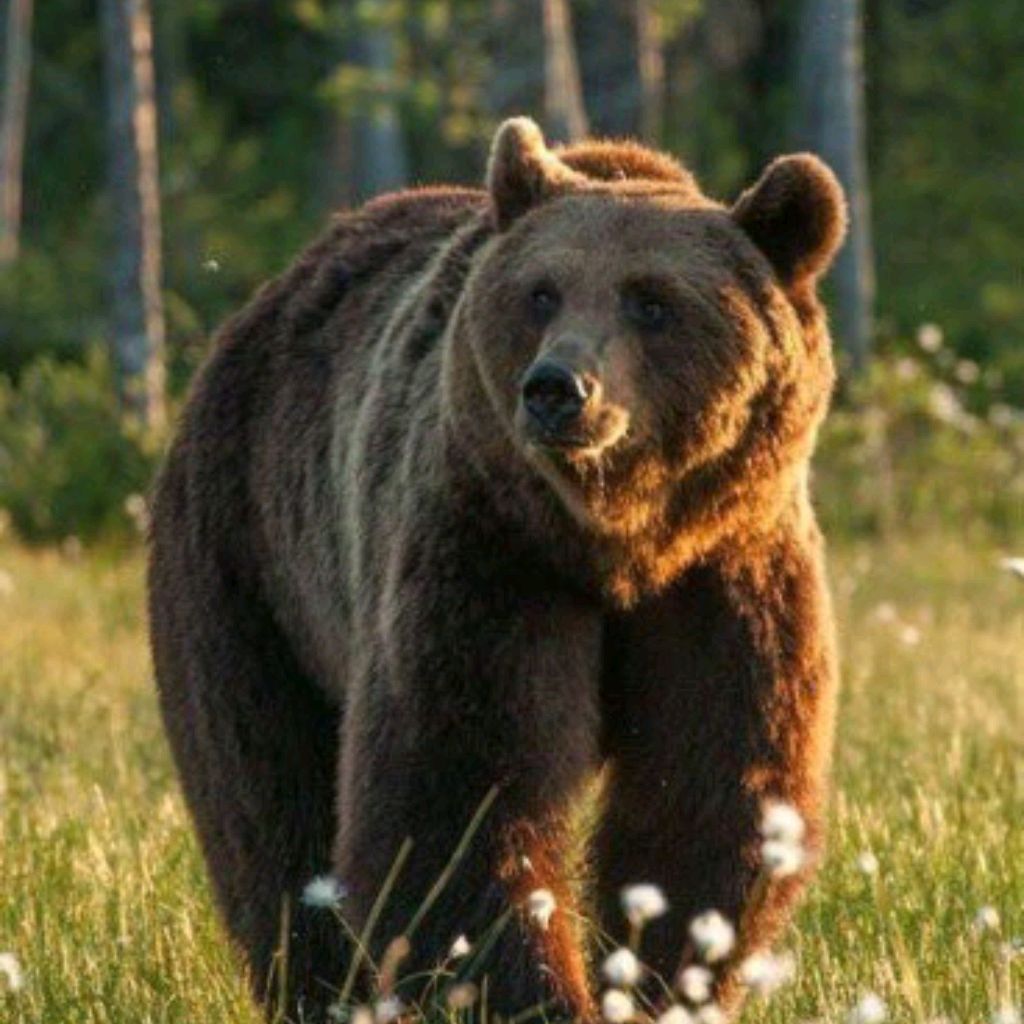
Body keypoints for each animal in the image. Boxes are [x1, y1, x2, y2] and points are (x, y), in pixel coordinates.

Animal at [148, 117, 845, 1023]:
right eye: (542, 292)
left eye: (652, 300)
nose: (558, 388)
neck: (617, 542)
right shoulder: (489, 553)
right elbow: (460, 791)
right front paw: (539, 994)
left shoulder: (726, 572)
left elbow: (709, 793)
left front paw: (660, 980)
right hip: (249, 566)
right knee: (268, 798)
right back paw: (323, 986)